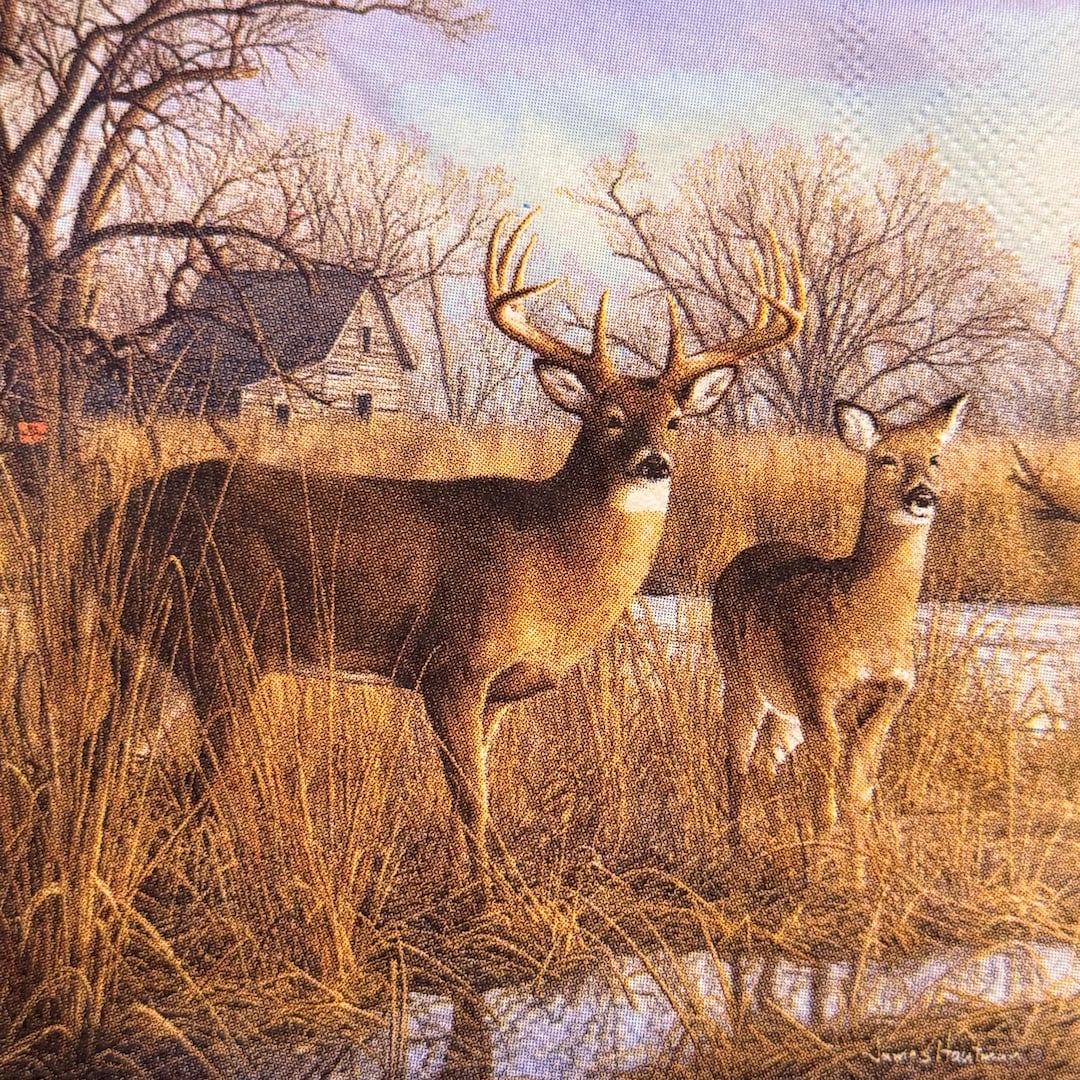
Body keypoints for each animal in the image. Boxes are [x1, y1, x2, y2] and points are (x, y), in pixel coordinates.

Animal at [86, 210, 805, 894]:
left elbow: (480, 789)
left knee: (109, 751)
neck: (554, 557)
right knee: (191, 777)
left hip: (154, 650)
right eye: (610, 417)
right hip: (220, 638)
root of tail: (100, 528)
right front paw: (488, 894)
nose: (656, 462)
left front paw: (482, 880)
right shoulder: (452, 664)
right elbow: (471, 800)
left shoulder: (499, 692)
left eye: (675, 420)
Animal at [711, 394, 968, 873]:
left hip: (785, 705)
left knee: (765, 761)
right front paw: (821, 874)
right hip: (741, 675)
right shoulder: (817, 688)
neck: (868, 625)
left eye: (935, 459)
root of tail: (742, 556)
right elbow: (824, 796)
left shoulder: (893, 693)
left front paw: (858, 875)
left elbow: (859, 791)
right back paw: (738, 851)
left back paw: (773, 845)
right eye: (886, 458)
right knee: (736, 759)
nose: (923, 495)